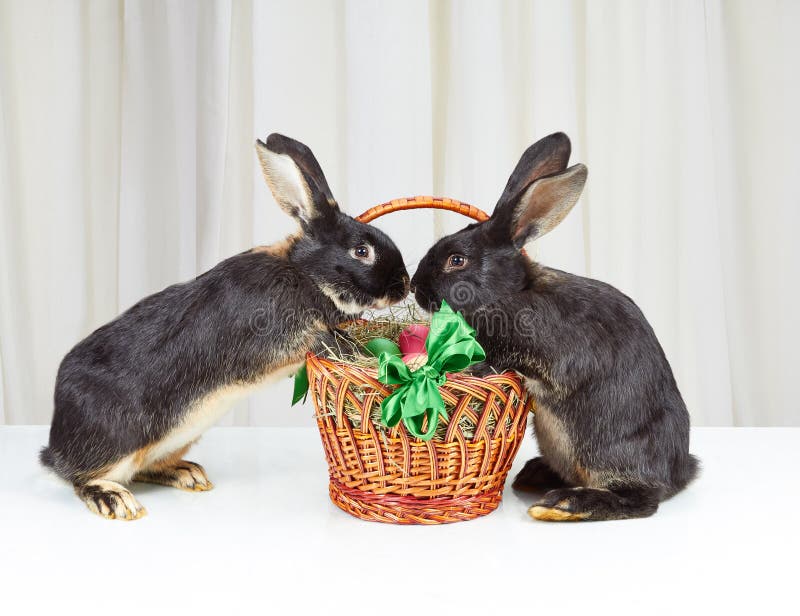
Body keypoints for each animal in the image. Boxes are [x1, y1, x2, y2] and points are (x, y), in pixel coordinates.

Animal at [40, 133, 410, 520]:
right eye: (361, 251)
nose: (403, 284)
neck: (305, 273)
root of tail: (54, 448)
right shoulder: (276, 336)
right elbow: (315, 338)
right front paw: (348, 346)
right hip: (118, 439)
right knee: (83, 479)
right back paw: (115, 500)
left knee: (145, 468)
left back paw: (188, 474)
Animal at [410, 132, 698, 522]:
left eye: (457, 260)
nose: (415, 286)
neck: (511, 292)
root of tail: (680, 473)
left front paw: (477, 368)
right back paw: (534, 475)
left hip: (613, 454)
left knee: (640, 500)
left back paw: (562, 504)